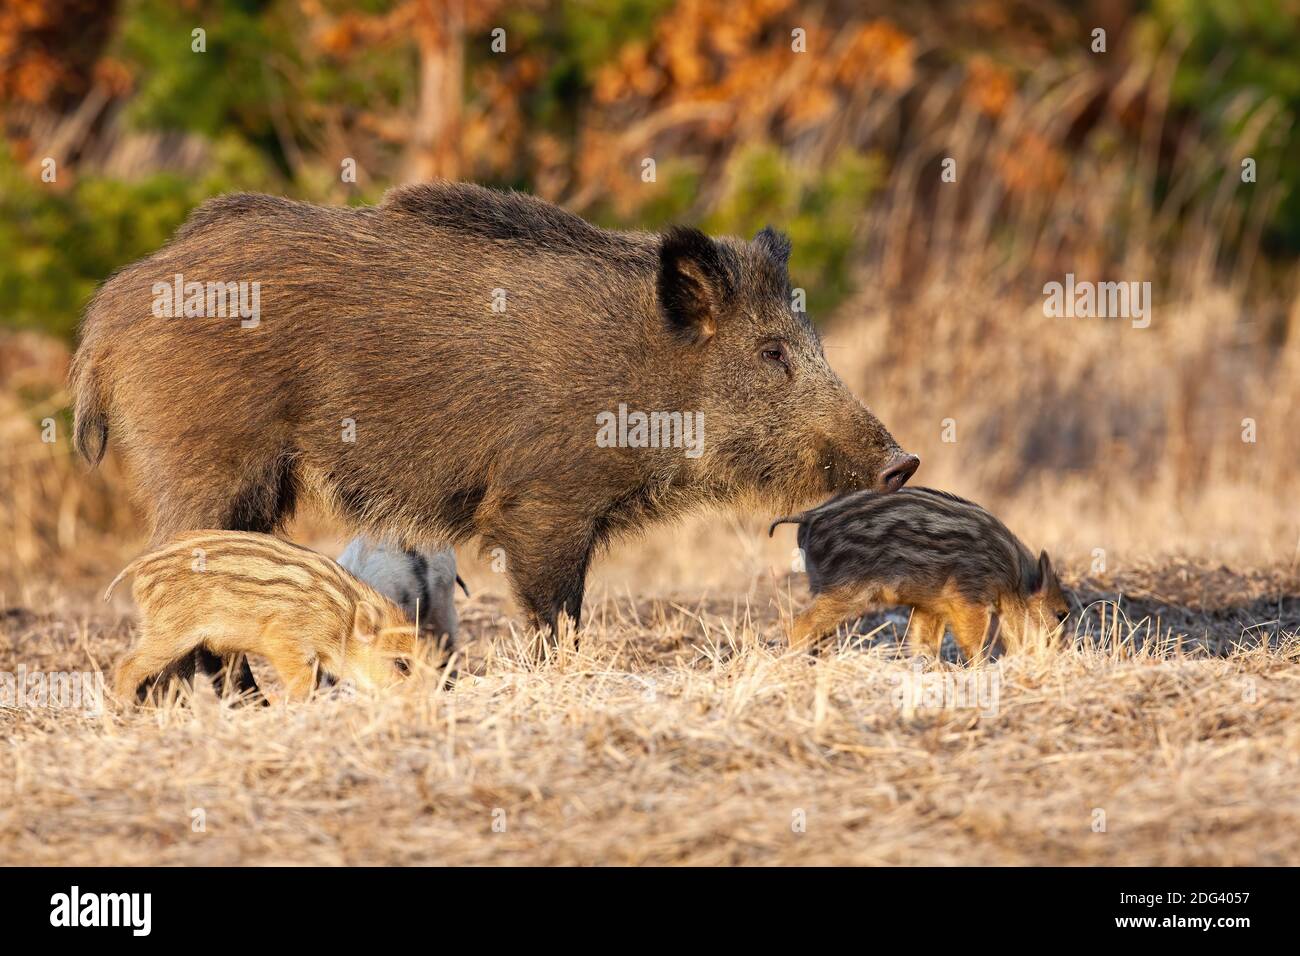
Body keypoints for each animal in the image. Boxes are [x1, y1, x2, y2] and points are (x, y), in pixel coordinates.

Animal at [107, 531, 417, 703]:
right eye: (402, 665)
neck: (342, 618)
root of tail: (140, 566)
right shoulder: (284, 639)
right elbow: (304, 683)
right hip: (169, 631)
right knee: (127, 664)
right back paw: (124, 709)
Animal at [770, 487, 1069, 661]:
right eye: (1061, 615)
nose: (1059, 658)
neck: (1013, 579)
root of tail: (809, 516)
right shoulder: (968, 597)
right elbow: (973, 639)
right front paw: (980, 668)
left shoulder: (931, 606)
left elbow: (924, 641)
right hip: (847, 590)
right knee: (801, 623)